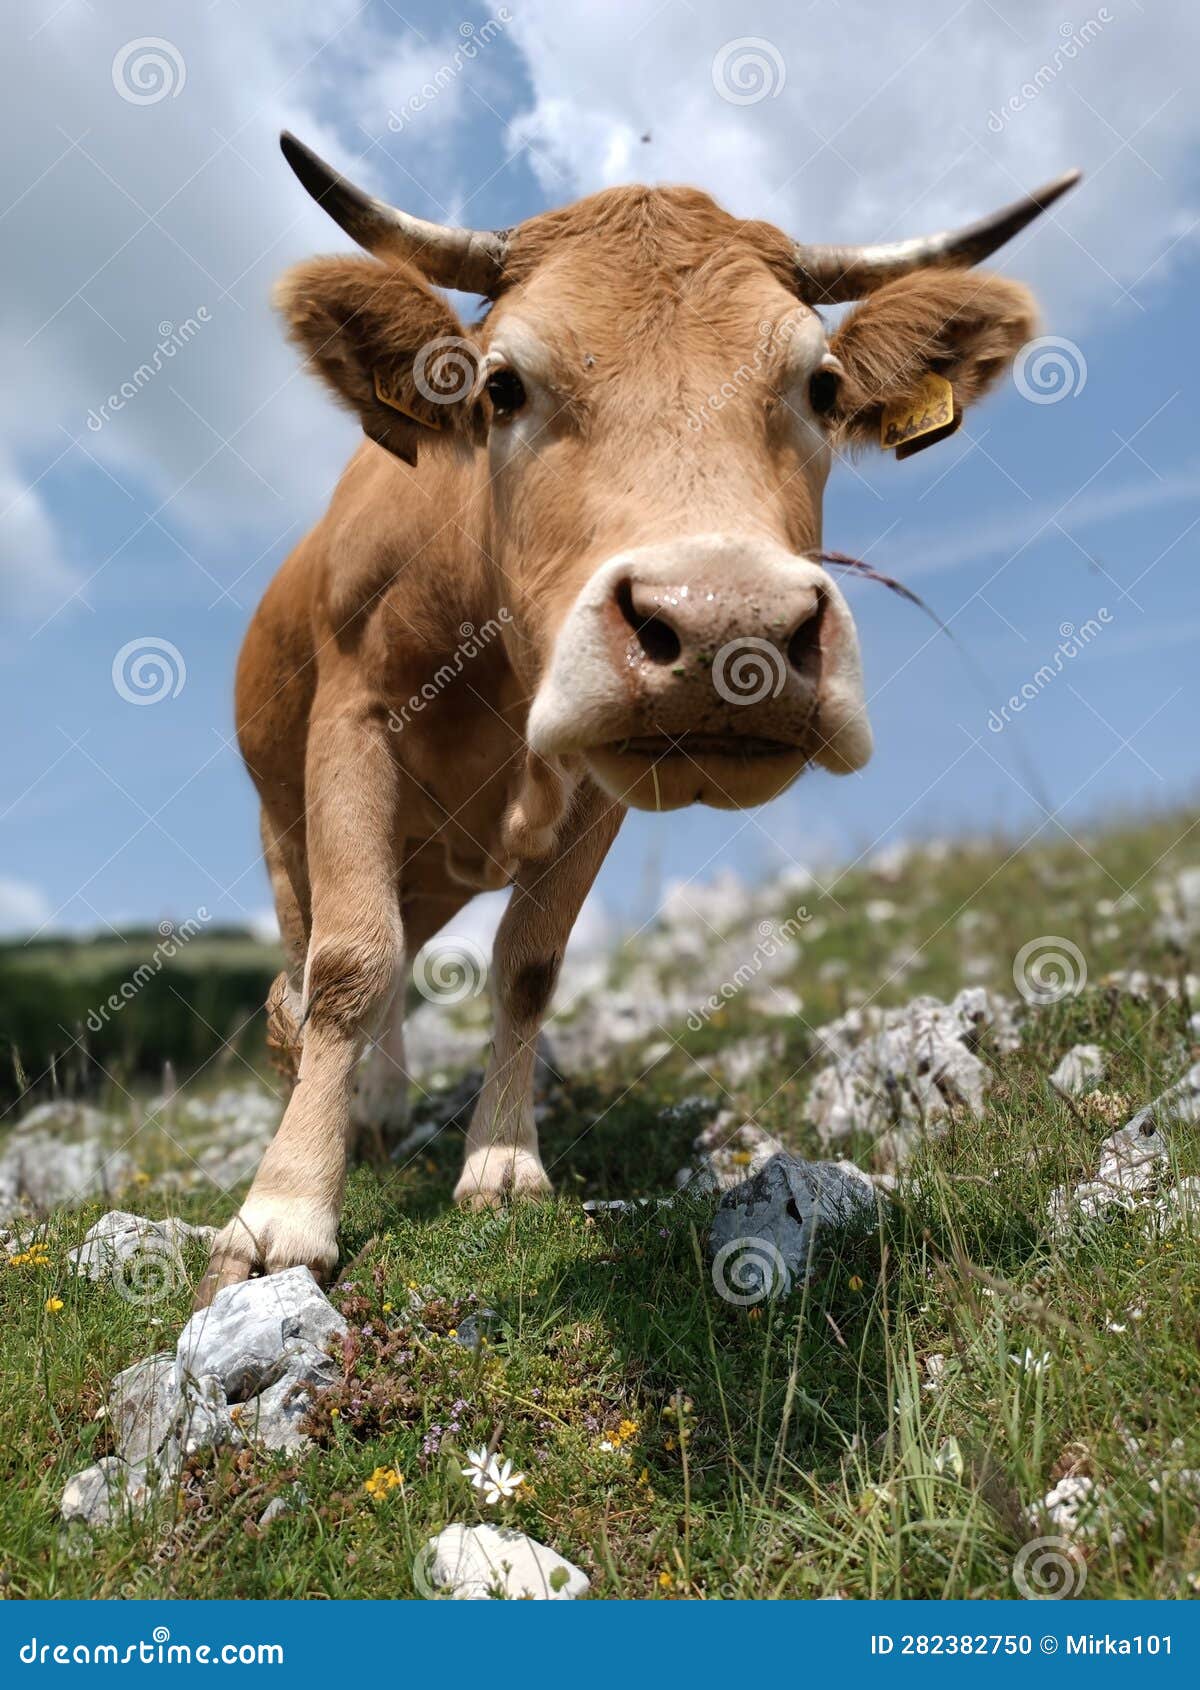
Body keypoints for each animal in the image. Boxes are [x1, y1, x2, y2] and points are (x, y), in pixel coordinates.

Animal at [197, 131, 1081, 1304]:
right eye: (501, 385)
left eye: (822, 384)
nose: (726, 628)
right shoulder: (354, 724)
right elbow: (349, 962)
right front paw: (284, 1210)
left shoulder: (598, 791)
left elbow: (526, 965)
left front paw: (502, 1161)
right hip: (281, 818)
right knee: (312, 955)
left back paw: (379, 1107)